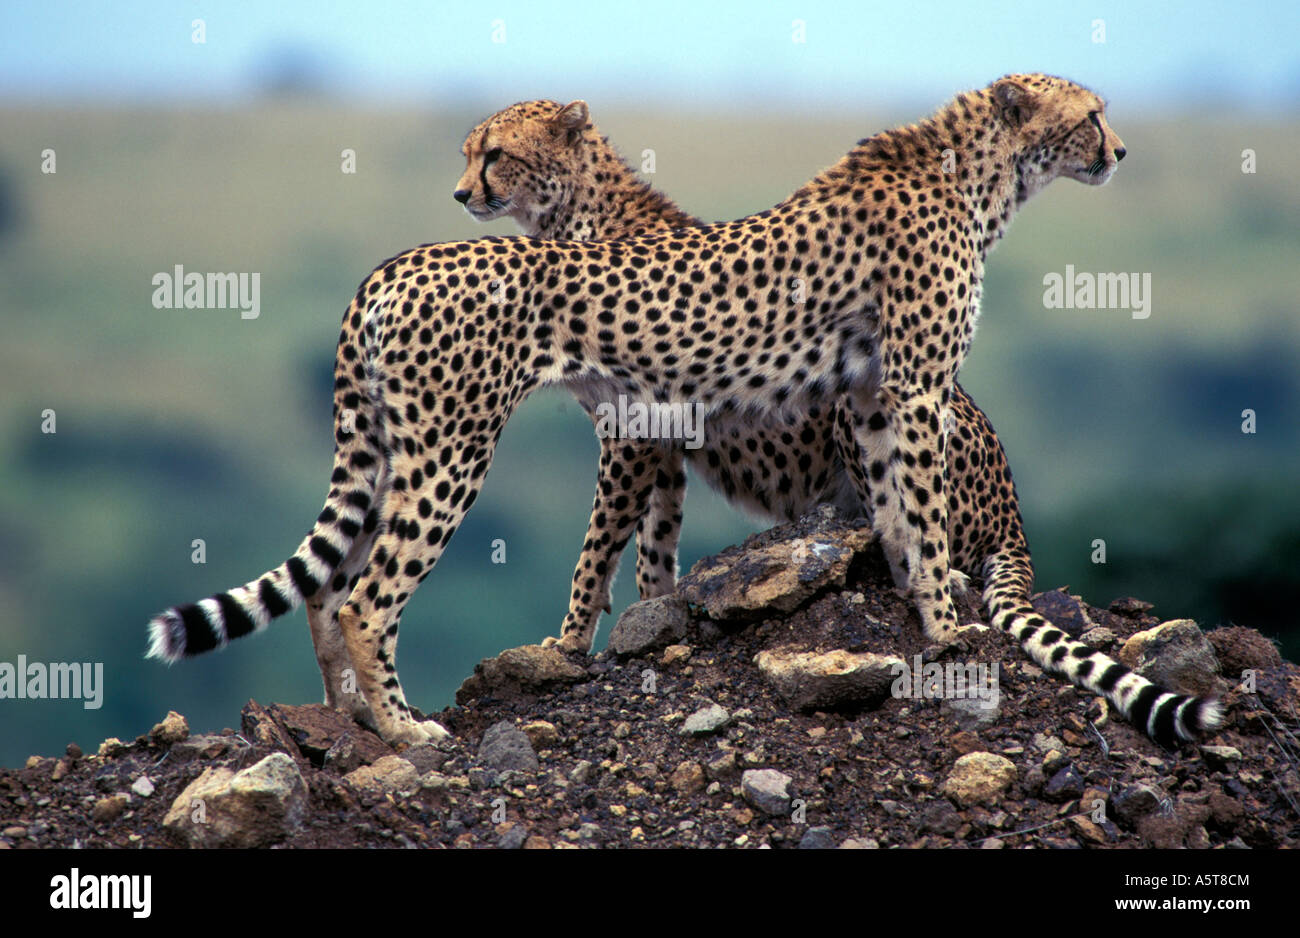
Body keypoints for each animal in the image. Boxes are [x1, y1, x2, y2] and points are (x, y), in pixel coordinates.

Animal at [147, 75, 1222, 749]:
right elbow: (605, 554)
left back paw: (350, 723)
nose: (1120, 145)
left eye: (493, 154)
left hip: (392, 443)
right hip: (447, 447)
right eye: (1090, 116)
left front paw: (925, 612)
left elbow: (666, 550)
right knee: (365, 593)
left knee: (331, 588)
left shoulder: (732, 420)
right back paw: (402, 727)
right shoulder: (879, 393)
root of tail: (392, 264)